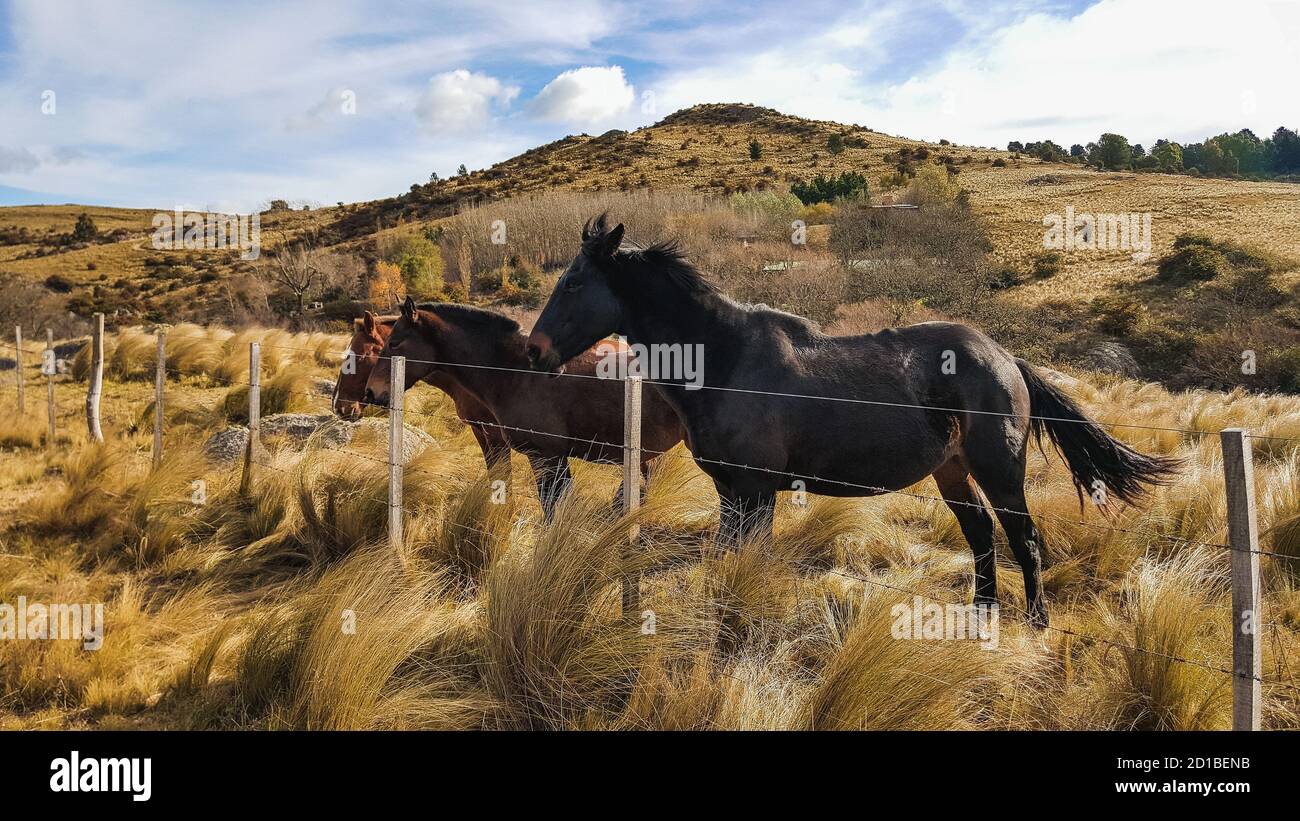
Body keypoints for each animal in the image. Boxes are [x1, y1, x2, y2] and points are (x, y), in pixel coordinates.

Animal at [524, 215, 1179, 626]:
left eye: (575, 281)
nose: (533, 352)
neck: (726, 358)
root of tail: (1003, 357)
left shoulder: (756, 491)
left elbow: (749, 557)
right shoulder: (730, 491)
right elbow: (725, 554)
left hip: (999, 471)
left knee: (1025, 539)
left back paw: (1036, 621)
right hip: (952, 472)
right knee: (980, 536)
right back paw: (981, 615)